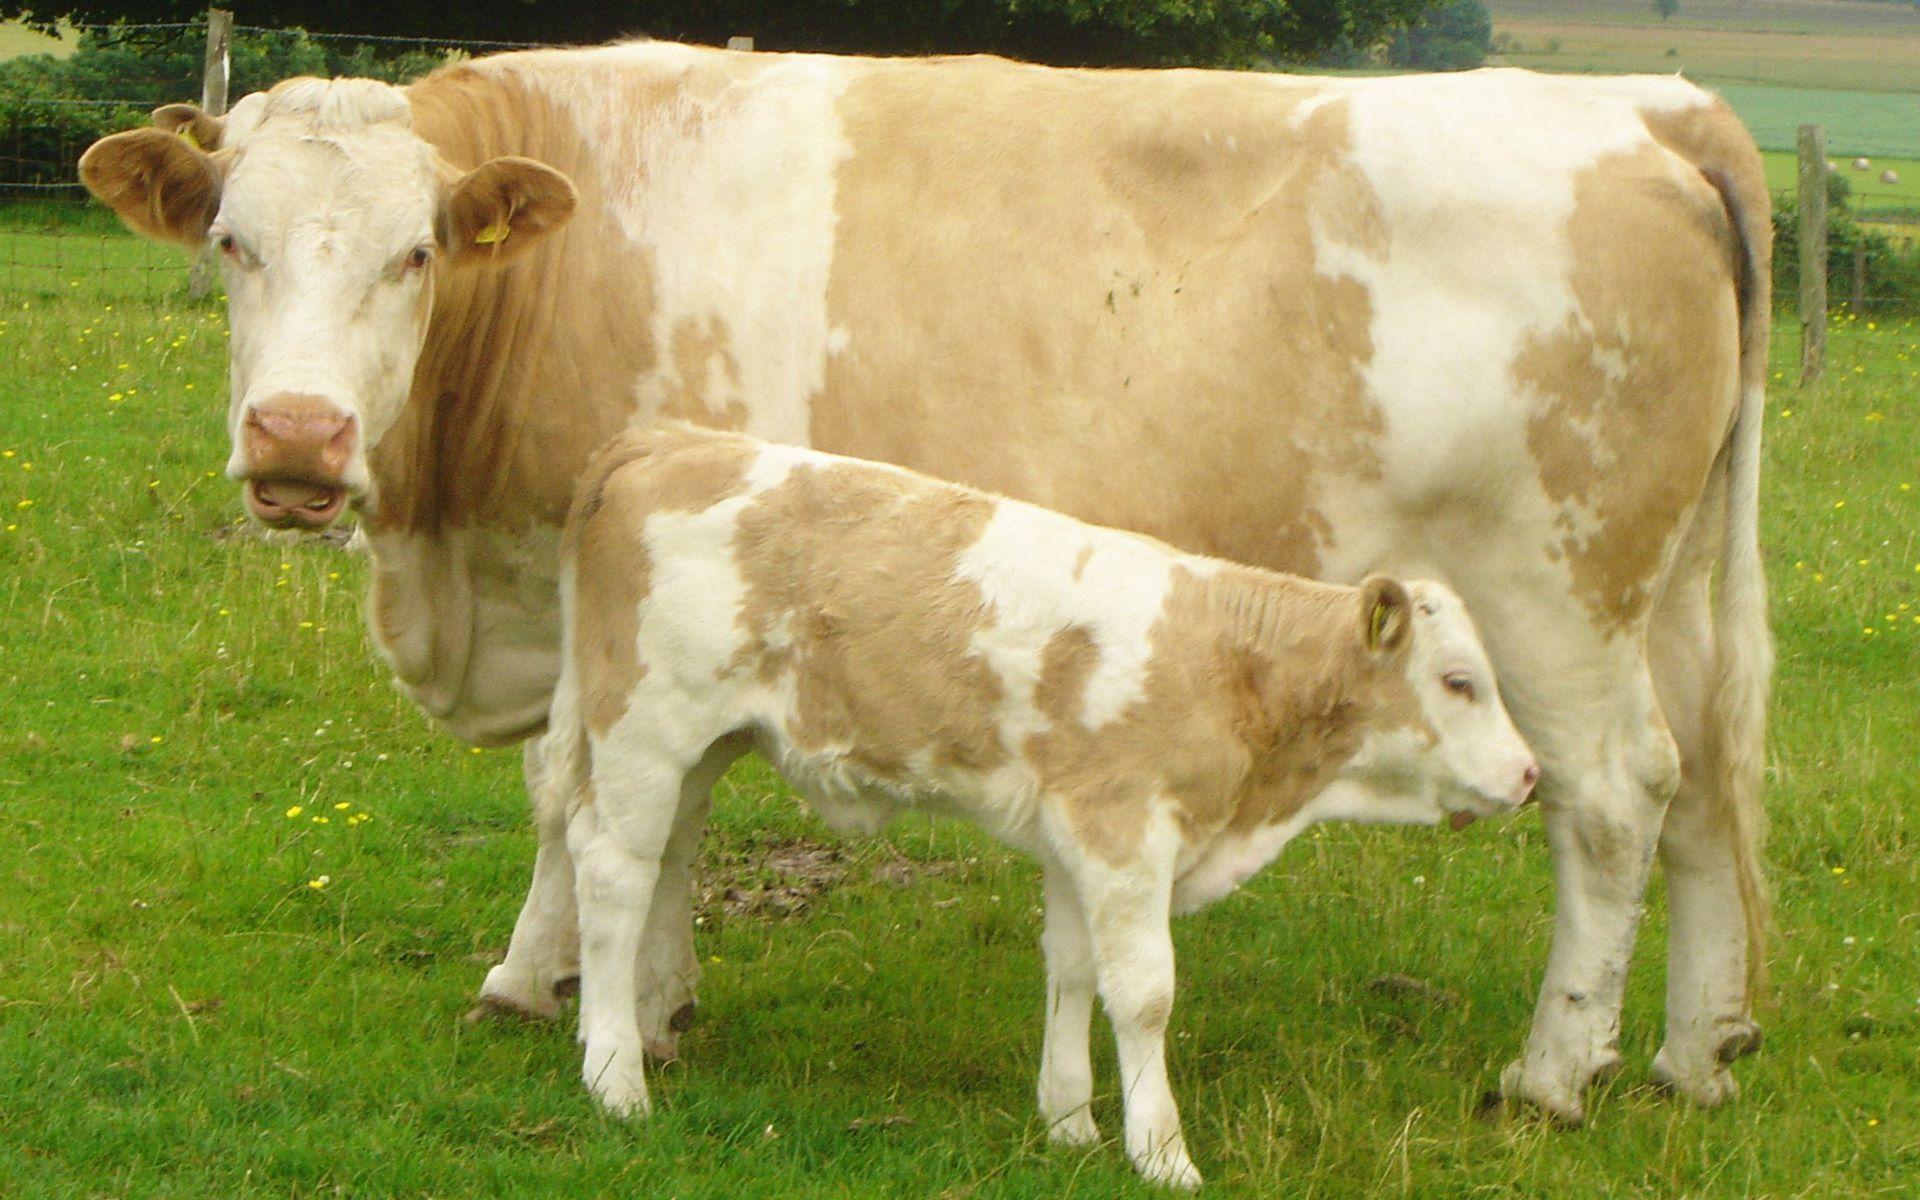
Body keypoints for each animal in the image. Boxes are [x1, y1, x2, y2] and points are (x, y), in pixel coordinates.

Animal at [545, 421, 1540, 1187]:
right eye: (1458, 681)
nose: (1530, 775)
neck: (1227, 666)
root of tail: (665, 439)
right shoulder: (1125, 831)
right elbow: (1143, 994)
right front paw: (1162, 1155)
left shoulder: (1076, 835)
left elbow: (1072, 969)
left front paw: (1069, 1122)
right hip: (644, 729)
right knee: (613, 876)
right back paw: (615, 1079)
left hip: (702, 748)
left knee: (659, 861)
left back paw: (627, 1035)